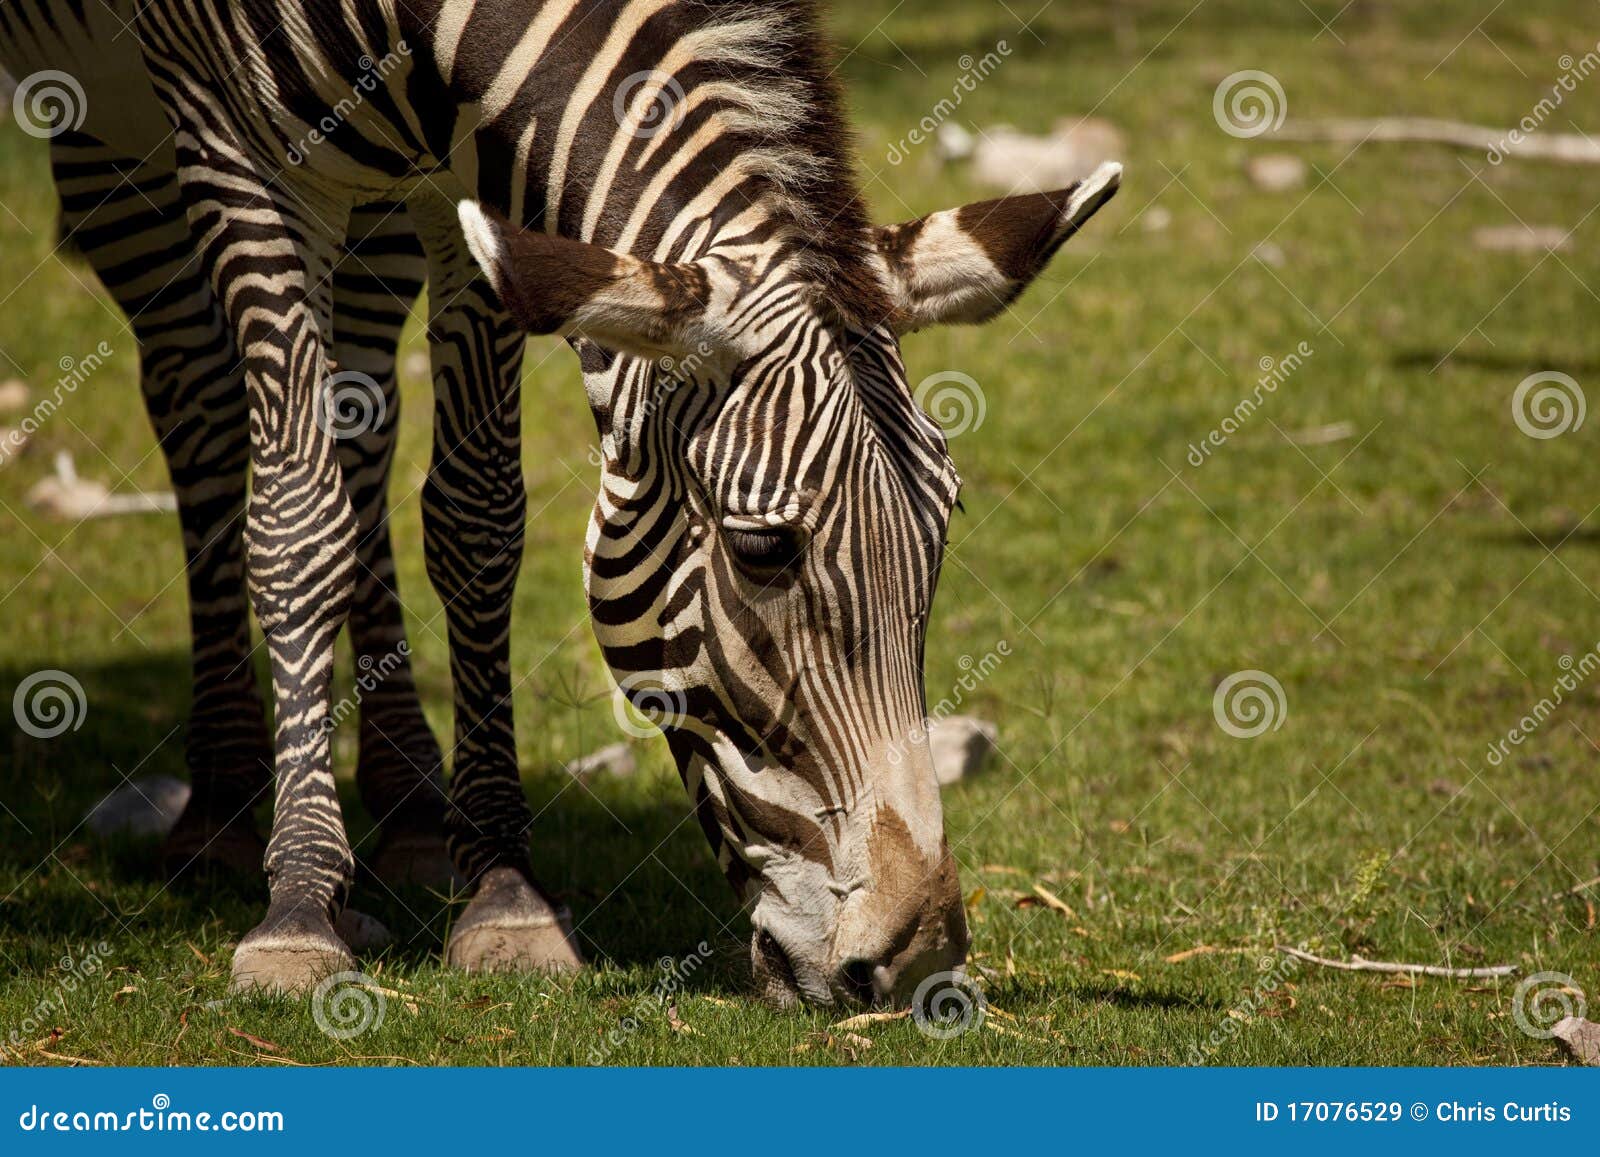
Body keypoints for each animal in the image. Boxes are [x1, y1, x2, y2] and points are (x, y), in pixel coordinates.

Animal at [2, 0, 1120, 1006]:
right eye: (763, 548)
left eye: (946, 522)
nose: (919, 953)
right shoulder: (231, 143)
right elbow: (295, 516)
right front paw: (302, 907)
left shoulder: (476, 178)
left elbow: (476, 515)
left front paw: (500, 886)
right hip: (115, 126)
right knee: (198, 400)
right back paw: (228, 803)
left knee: (359, 414)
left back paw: (411, 801)